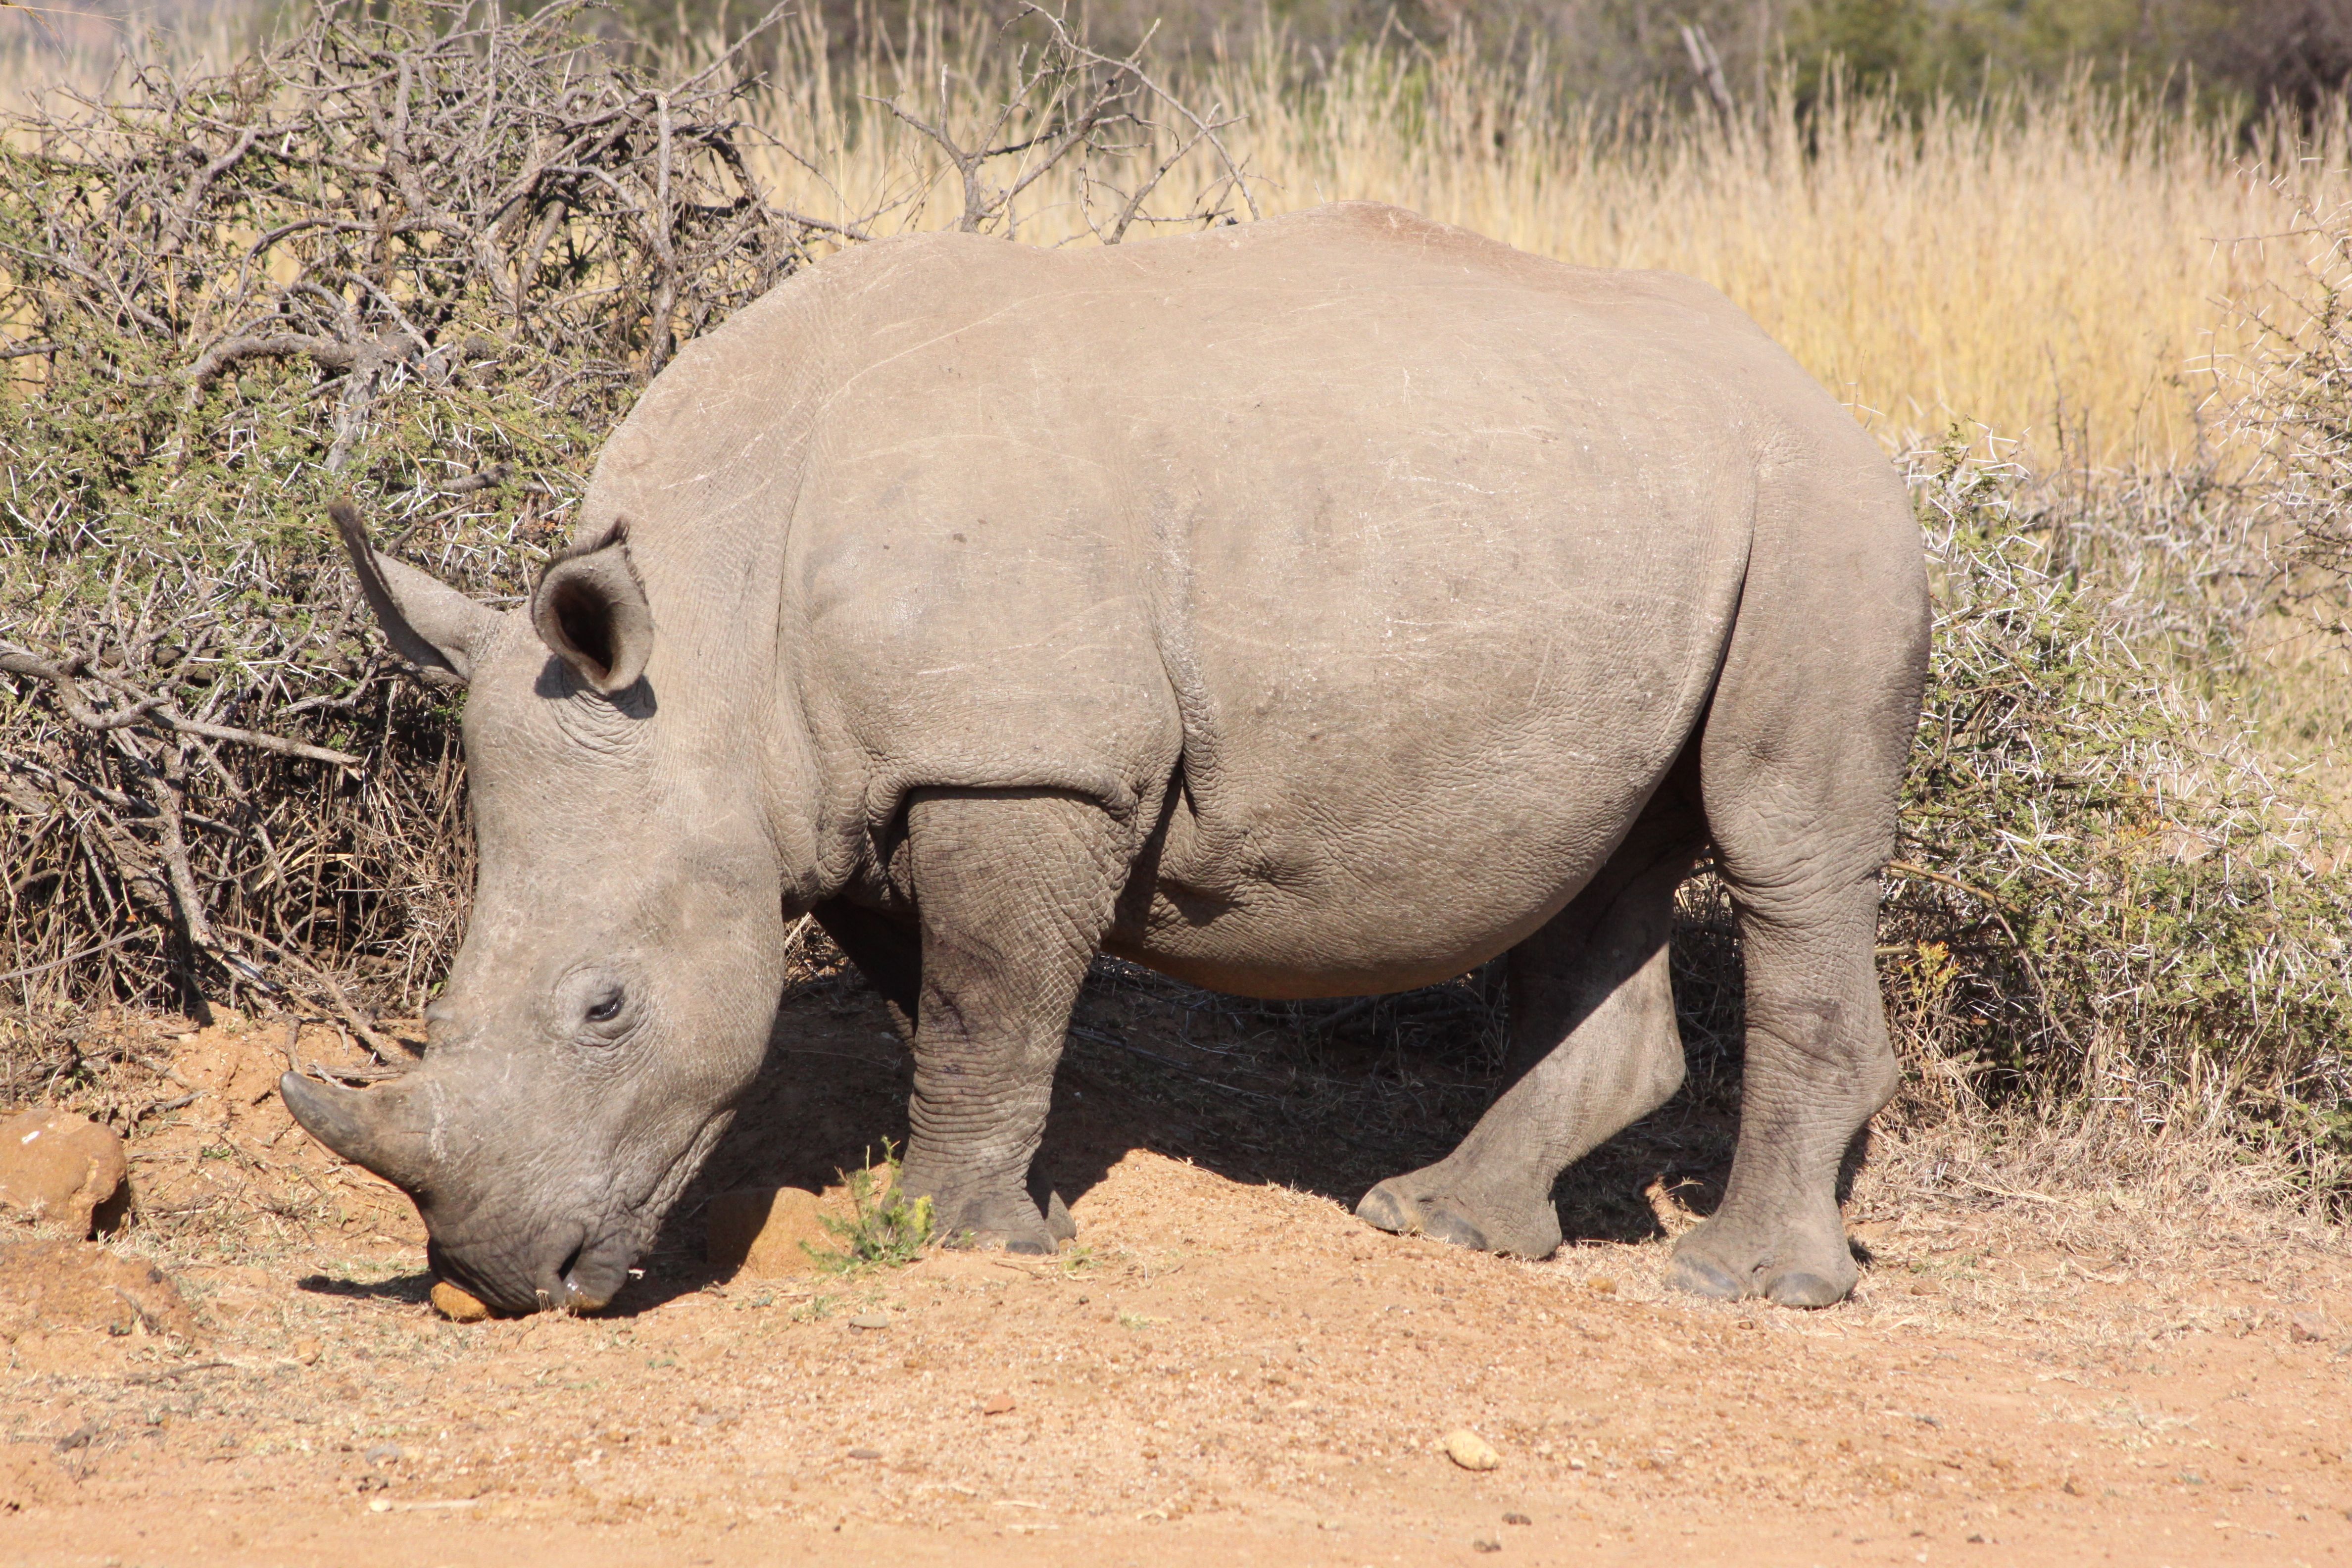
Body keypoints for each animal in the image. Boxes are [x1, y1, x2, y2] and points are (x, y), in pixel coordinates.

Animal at [281, 202, 1928, 1316]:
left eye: (605, 1008)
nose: (491, 1276)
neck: (714, 639)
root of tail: (1814, 384)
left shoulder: (1021, 759)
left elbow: (986, 1000)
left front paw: (949, 1235)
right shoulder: (867, 779)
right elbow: (948, 999)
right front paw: (978, 1189)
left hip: (1820, 515)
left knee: (1782, 843)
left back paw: (1740, 1283)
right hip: (1622, 512)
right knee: (1608, 868)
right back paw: (1441, 1223)